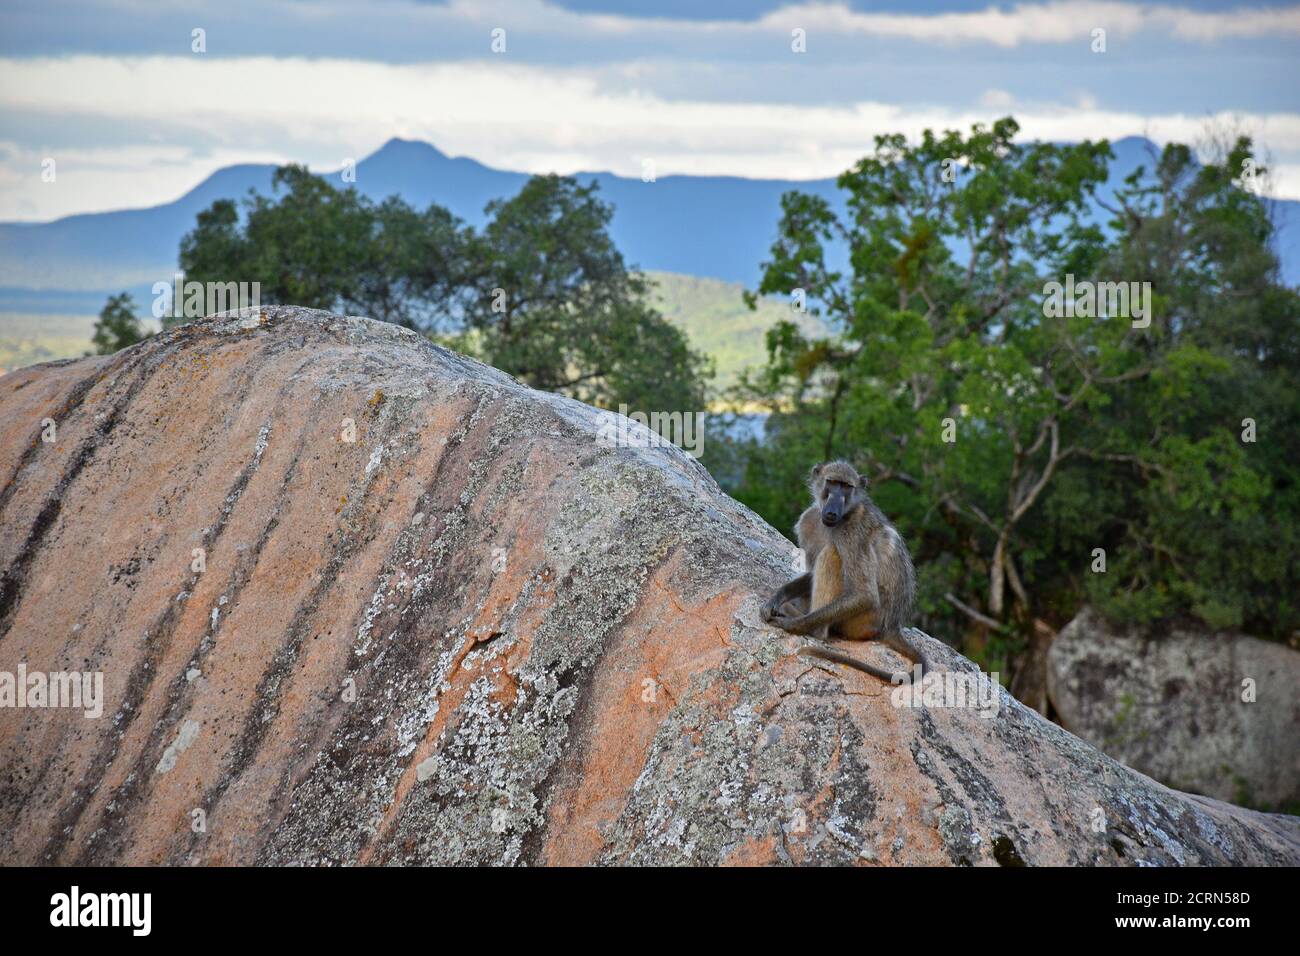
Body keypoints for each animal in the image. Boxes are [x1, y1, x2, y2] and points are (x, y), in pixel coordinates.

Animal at [761, 461, 928, 684]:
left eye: (847, 487)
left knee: (832, 553)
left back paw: (809, 625)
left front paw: (793, 625)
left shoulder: (852, 532)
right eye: (832, 483)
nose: (832, 511)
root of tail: (892, 625)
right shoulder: (809, 521)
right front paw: (775, 599)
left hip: (864, 621)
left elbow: (864, 595)